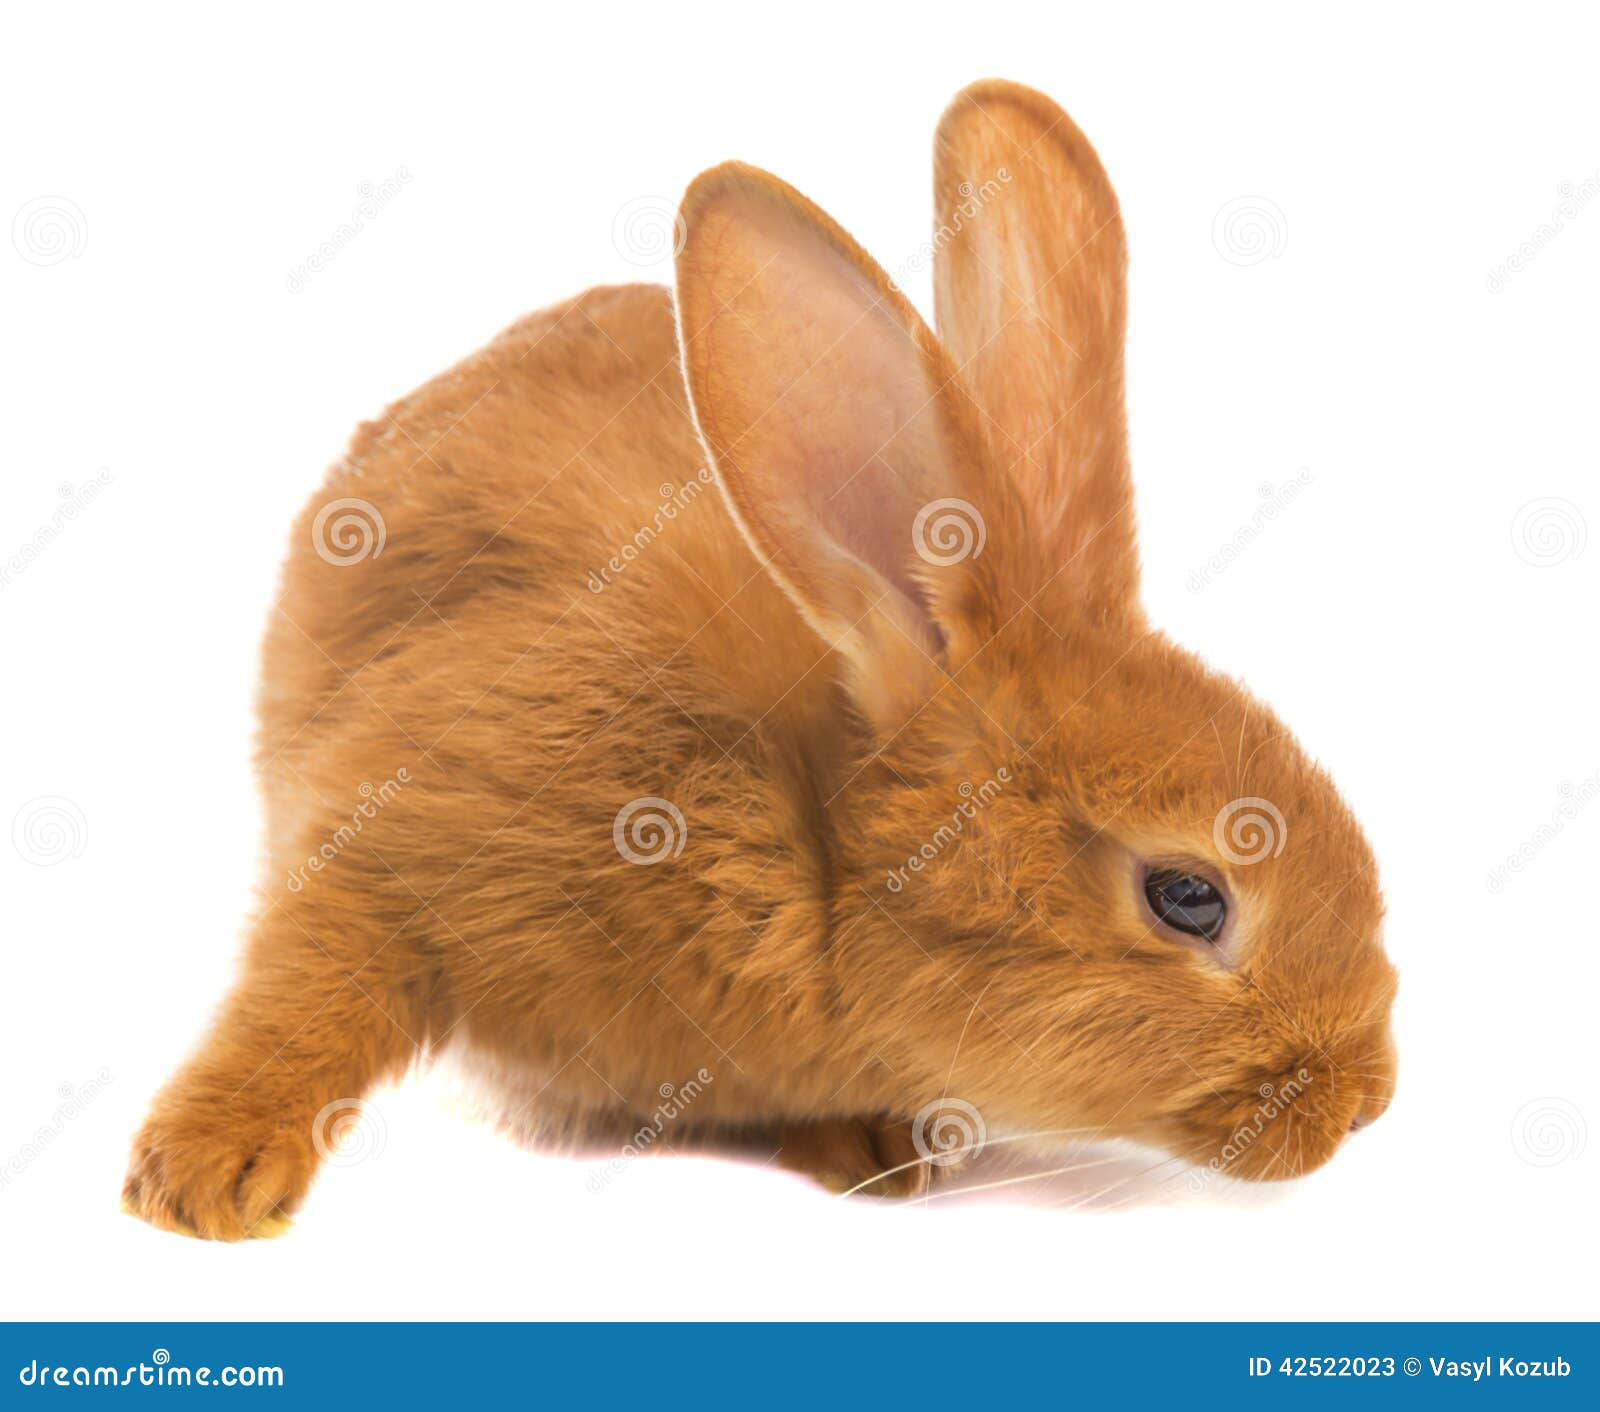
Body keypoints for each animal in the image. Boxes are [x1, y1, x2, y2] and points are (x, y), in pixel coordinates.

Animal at [123, 78, 1398, 1239]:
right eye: (1188, 897)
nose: (1365, 1099)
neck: (809, 839)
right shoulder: (409, 819)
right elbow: (312, 985)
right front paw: (204, 1178)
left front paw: (879, 1144)